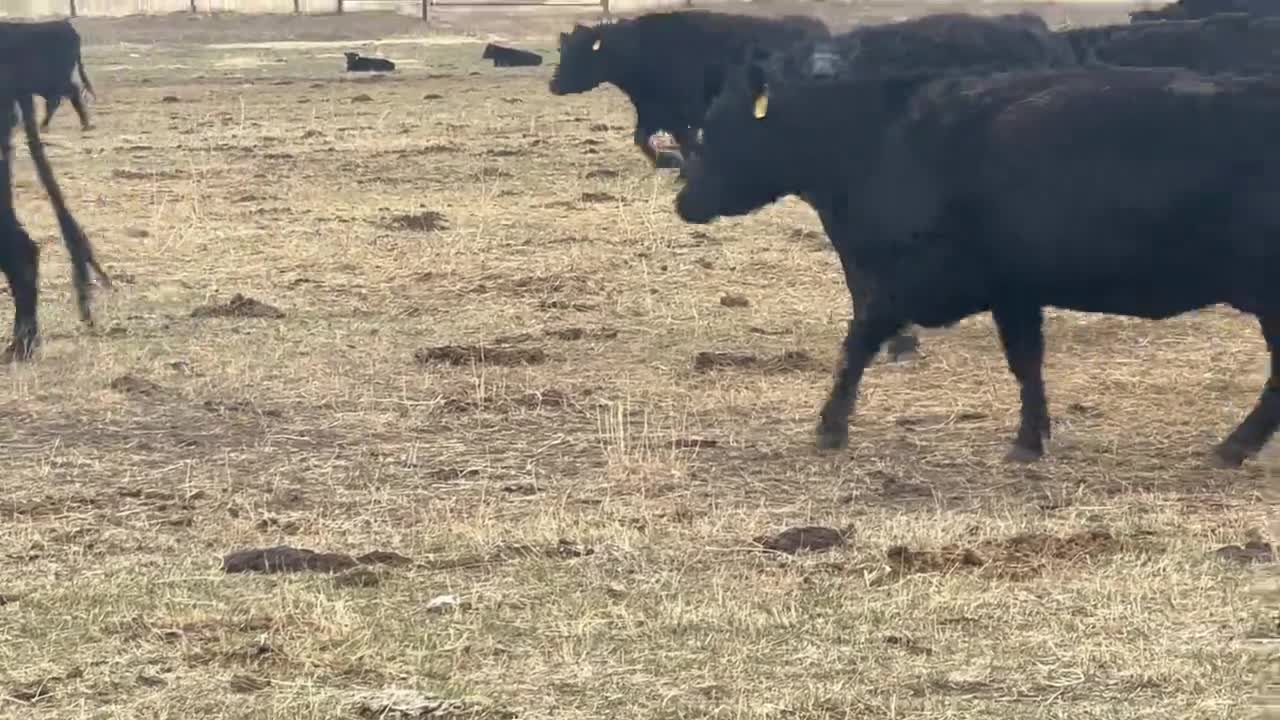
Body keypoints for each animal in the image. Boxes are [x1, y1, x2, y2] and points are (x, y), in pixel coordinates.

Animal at [549, 10, 831, 170]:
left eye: (580, 53)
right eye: (564, 50)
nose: (553, 84)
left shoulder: (686, 113)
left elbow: (688, 141)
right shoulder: (653, 112)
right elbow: (642, 139)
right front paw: (667, 161)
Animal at [676, 56, 1280, 468]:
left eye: (721, 129)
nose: (684, 202)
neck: (879, 142)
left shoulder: (909, 282)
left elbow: (856, 344)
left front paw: (830, 427)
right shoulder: (1013, 289)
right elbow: (1026, 362)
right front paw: (1030, 438)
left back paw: (1233, 446)